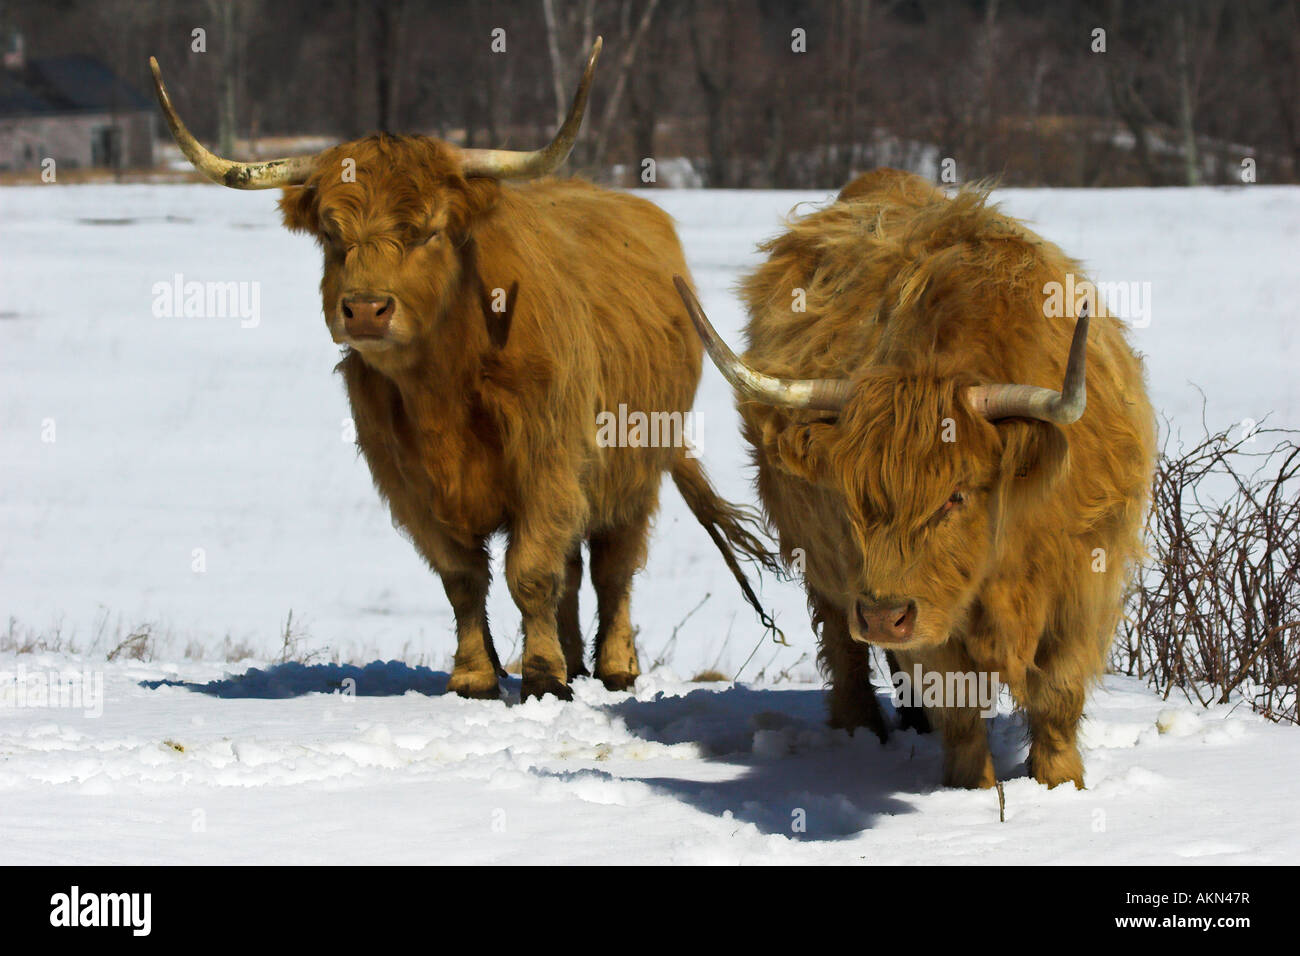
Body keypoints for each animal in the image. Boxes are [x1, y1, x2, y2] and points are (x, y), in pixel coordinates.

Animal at [149, 40, 777, 702]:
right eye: (331, 232)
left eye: (426, 231)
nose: (365, 308)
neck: (441, 385)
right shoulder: (410, 483)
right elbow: (463, 577)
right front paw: (477, 675)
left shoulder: (547, 460)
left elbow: (530, 571)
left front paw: (543, 679)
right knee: (574, 567)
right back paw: (576, 660)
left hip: (637, 468)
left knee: (613, 567)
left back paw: (612, 667)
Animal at [675, 168, 1155, 789]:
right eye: (849, 499)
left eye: (957, 495)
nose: (884, 615)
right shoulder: (921, 614)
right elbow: (956, 704)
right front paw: (969, 791)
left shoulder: (1083, 583)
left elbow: (1057, 696)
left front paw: (1060, 785)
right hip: (827, 567)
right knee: (843, 644)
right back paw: (860, 729)